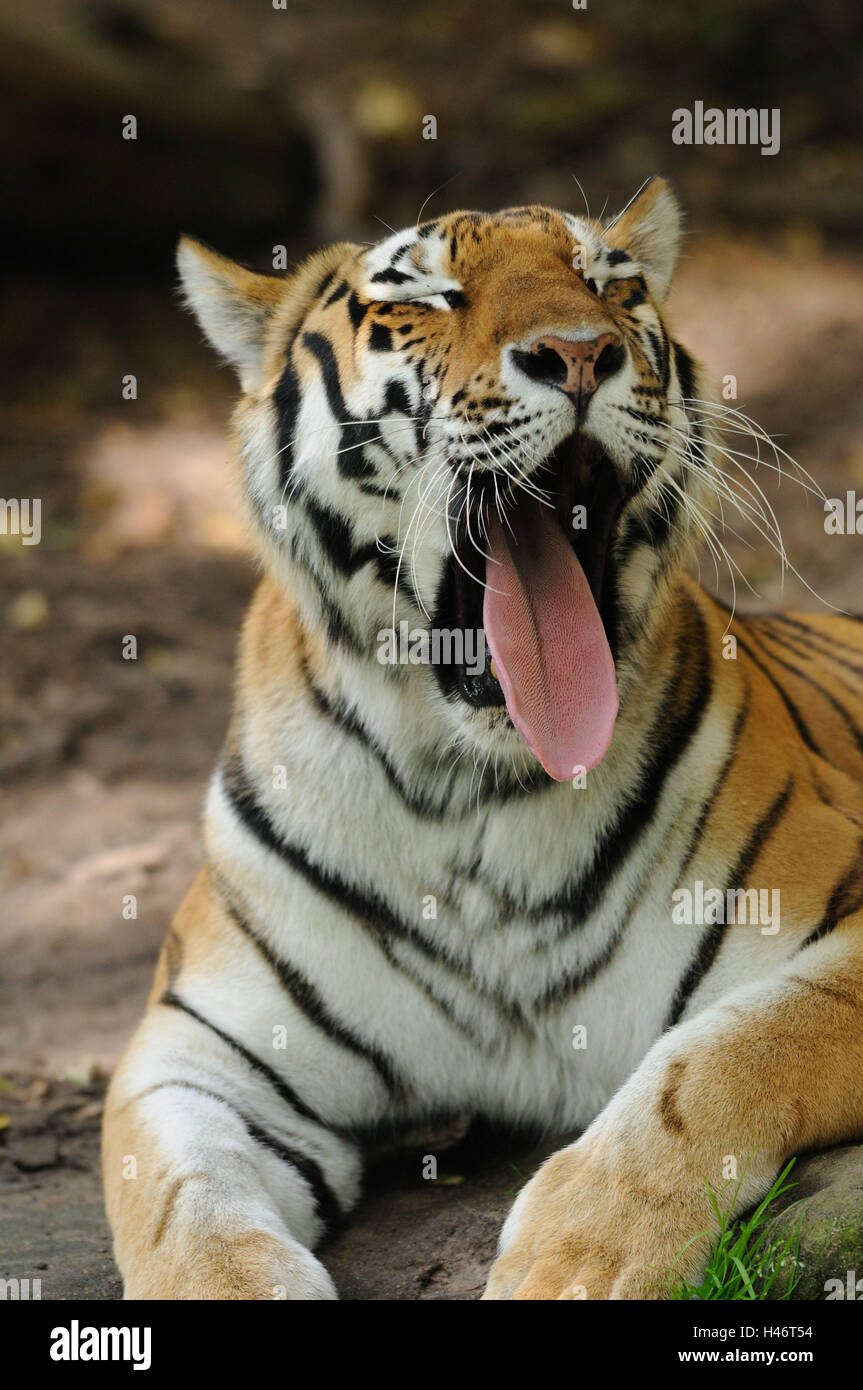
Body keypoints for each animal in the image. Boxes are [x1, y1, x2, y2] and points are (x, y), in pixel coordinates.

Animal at [102, 177, 863, 1300]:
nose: (581, 353)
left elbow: (719, 1060)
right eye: (423, 295)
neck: (470, 789)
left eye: (610, 282)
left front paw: (574, 1258)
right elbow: (177, 1200)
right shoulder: (198, 1048)